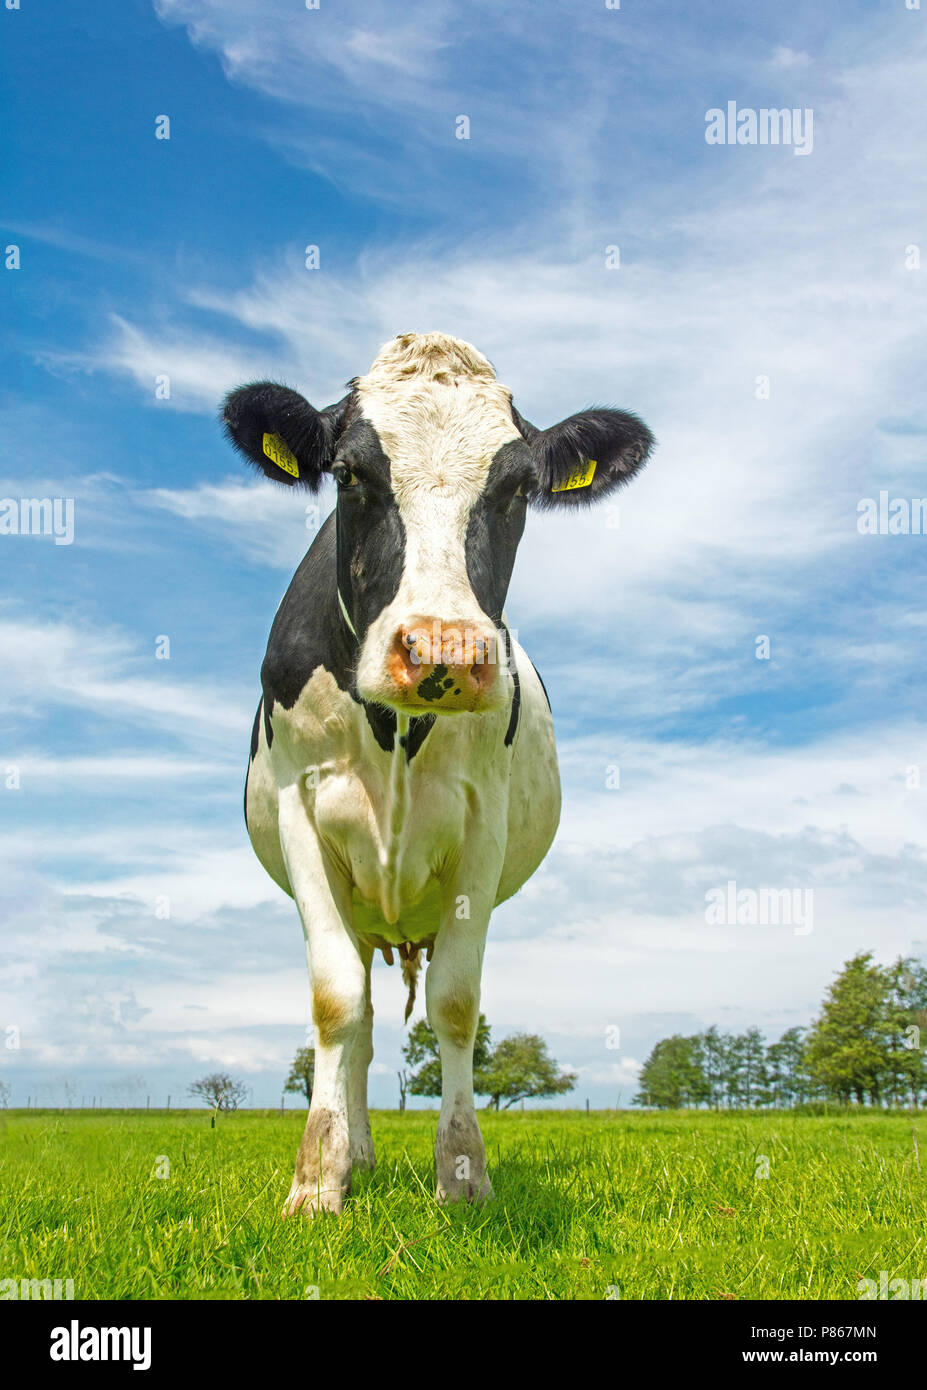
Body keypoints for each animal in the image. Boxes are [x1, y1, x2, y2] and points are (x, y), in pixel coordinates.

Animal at [222, 332, 653, 1214]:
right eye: (350, 473)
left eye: (518, 486)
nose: (442, 651)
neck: (396, 733)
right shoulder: (300, 810)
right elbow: (334, 1000)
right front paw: (316, 1181)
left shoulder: (482, 824)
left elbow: (457, 1004)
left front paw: (461, 1174)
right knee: (359, 1022)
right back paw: (356, 1156)